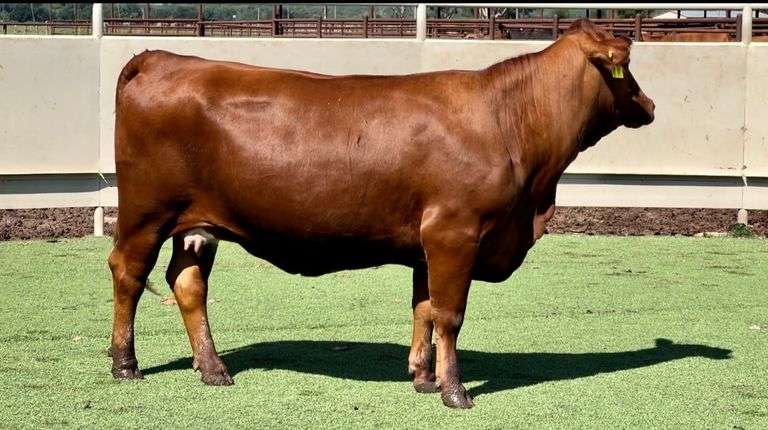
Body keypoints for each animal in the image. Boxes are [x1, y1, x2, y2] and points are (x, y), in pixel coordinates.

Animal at [107, 19, 654, 409]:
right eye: (627, 69)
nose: (649, 105)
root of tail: (159, 57)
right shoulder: (454, 232)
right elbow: (450, 314)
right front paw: (455, 391)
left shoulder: (427, 246)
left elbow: (424, 309)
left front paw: (423, 378)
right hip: (145, 211)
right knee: (128, 272)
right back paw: (125, 362)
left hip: (197, 225)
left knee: (188, 283)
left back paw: (213, 367)